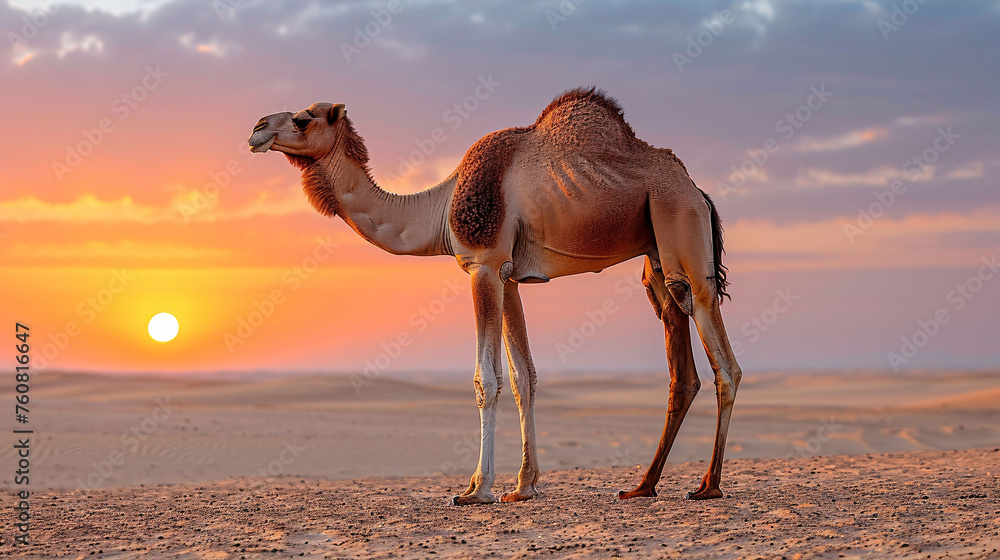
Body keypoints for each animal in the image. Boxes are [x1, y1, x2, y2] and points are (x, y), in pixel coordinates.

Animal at [247, 87, 742, 505]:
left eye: (303, 119)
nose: (256, 128)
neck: (437, 209)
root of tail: (698, 191)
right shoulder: (510, 277)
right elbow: (524, 376)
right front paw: (523, 487)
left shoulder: (482, 266)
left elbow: (486, 378)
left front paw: (476, 489)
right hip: (655, 255)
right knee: (681, 362)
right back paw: (642, 486)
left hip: (679, 225)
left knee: (722, 355)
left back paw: (709, 486)